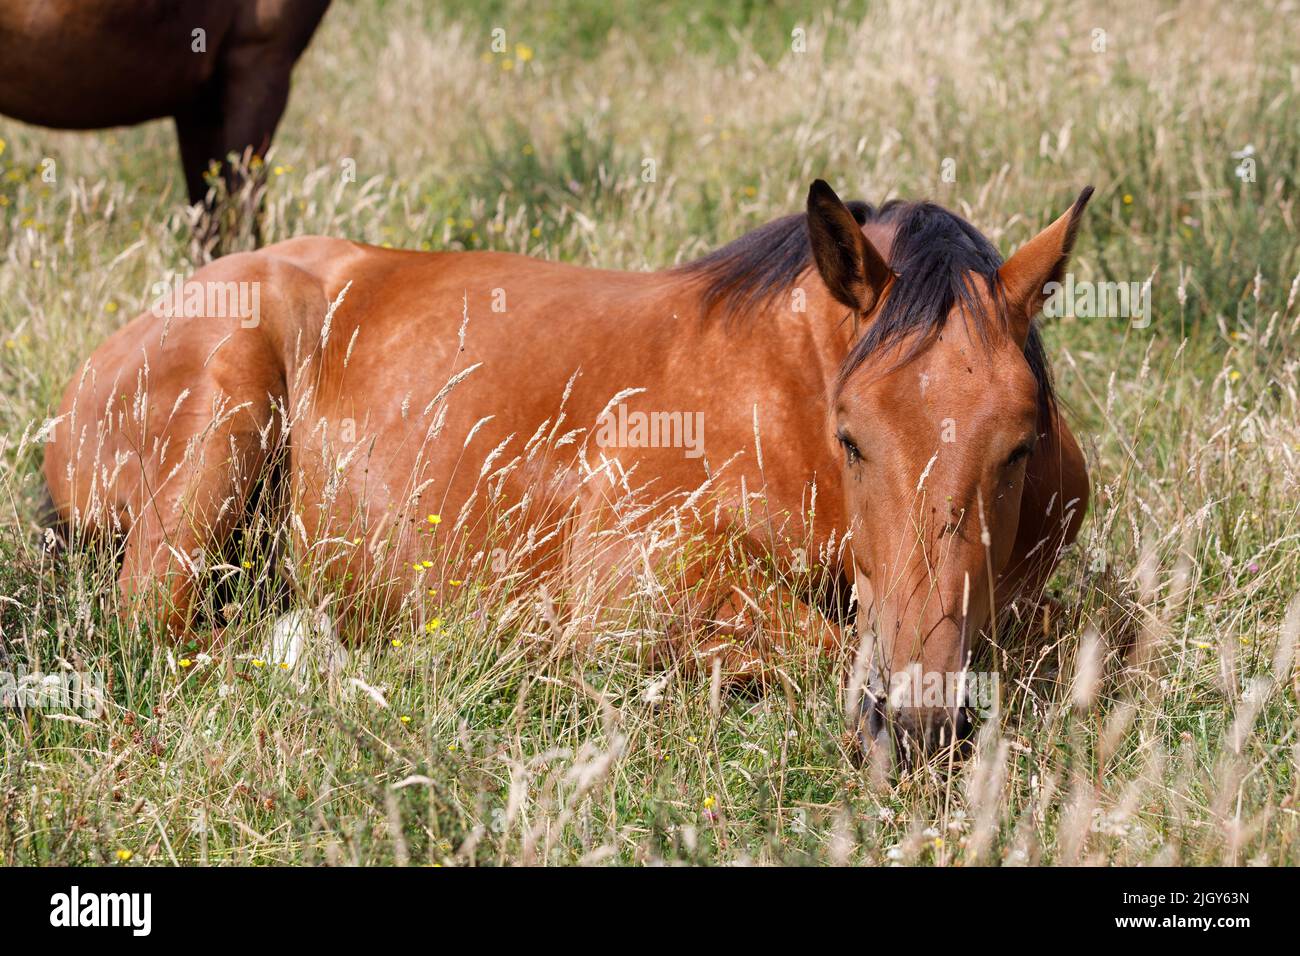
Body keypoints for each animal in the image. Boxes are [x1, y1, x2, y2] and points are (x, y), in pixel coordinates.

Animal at [42, 180, 1092, 765]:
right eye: (852, 437)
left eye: (1019, 443)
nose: (918, 726)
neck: (782, 385)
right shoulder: (636, 590)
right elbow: (810, 649)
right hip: (227, 407)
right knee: (162, 623)